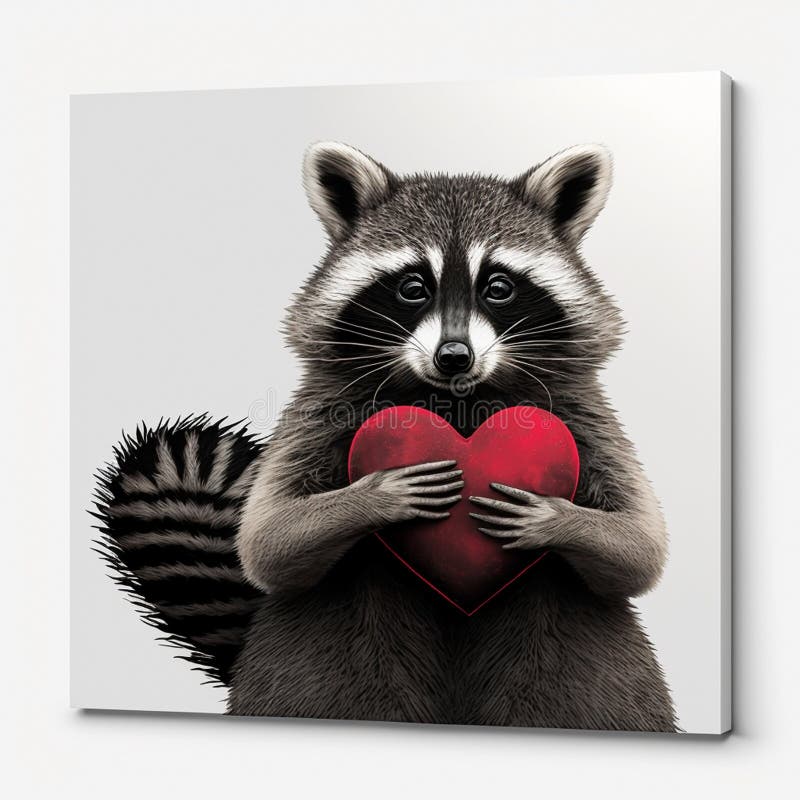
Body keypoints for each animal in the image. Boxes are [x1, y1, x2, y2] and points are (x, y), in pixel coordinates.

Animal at [95, 142, 676, 732]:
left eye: (499, 287)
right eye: (413, 287)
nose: (454, 356)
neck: (456, 399)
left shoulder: (584, 416)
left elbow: (640, 546)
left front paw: (551, 516)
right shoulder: (320, 410)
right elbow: (268, 540)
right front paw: (377, 494)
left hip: (585, 671)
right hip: (322, 665)